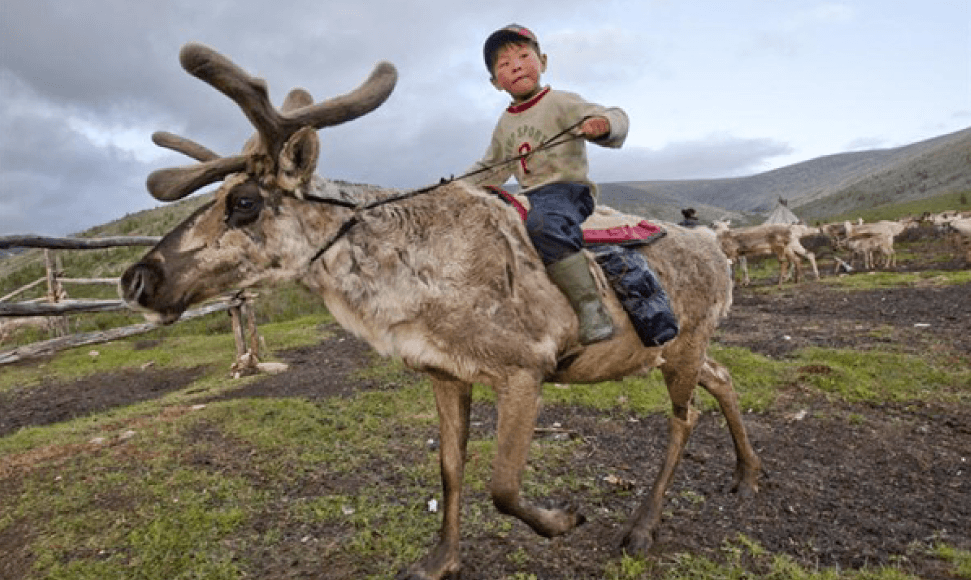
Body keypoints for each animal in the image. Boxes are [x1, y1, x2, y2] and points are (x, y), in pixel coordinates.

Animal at [118, 43, 761, 580]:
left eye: (244, 202)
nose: (136, 278)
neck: (408, 287)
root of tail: (718, 249)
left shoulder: (524, 369)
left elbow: (503, 486)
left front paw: (563, 520)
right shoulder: (444, 373)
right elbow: (452, 469)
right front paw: (440, 561)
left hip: (682, 343)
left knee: (685, 417)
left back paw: (643, 527)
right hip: (671, 349)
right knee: (723, 378)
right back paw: (746, 473)